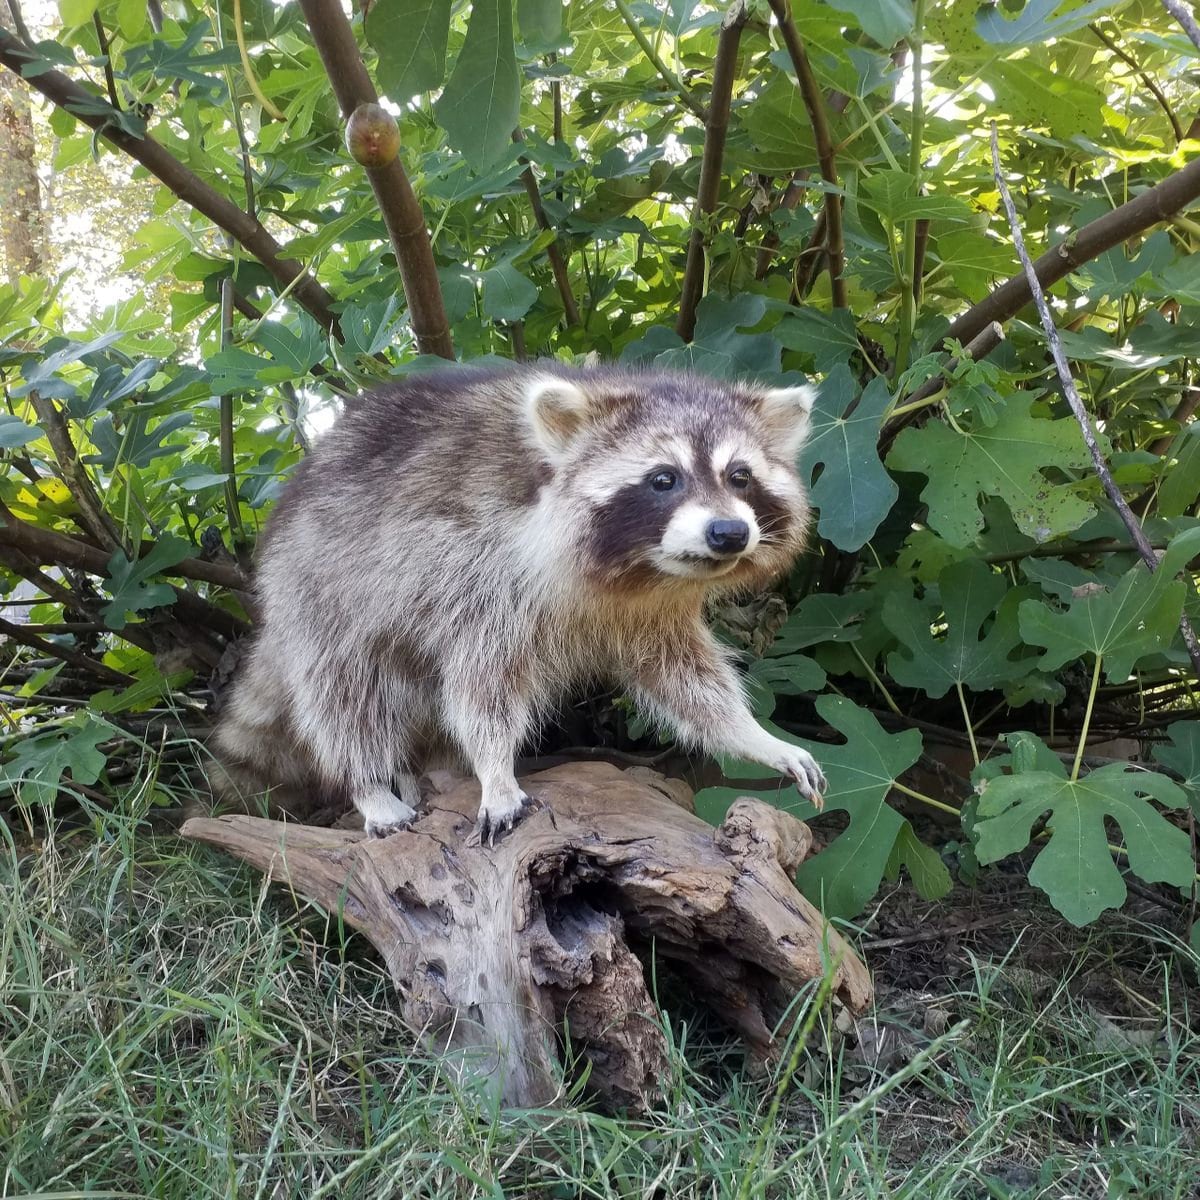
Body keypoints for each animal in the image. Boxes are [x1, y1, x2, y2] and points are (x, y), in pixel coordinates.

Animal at [214, 364, 826, 843]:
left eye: (740, 476)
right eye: (663, 479)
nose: (729, 533)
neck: (638, 572)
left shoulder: (649, 613)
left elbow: (687, 680)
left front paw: (755, 736)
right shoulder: (477, 574)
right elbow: (481, 689)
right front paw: (495, 770)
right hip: (320, 591)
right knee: (344, 695)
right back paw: (369, 785)